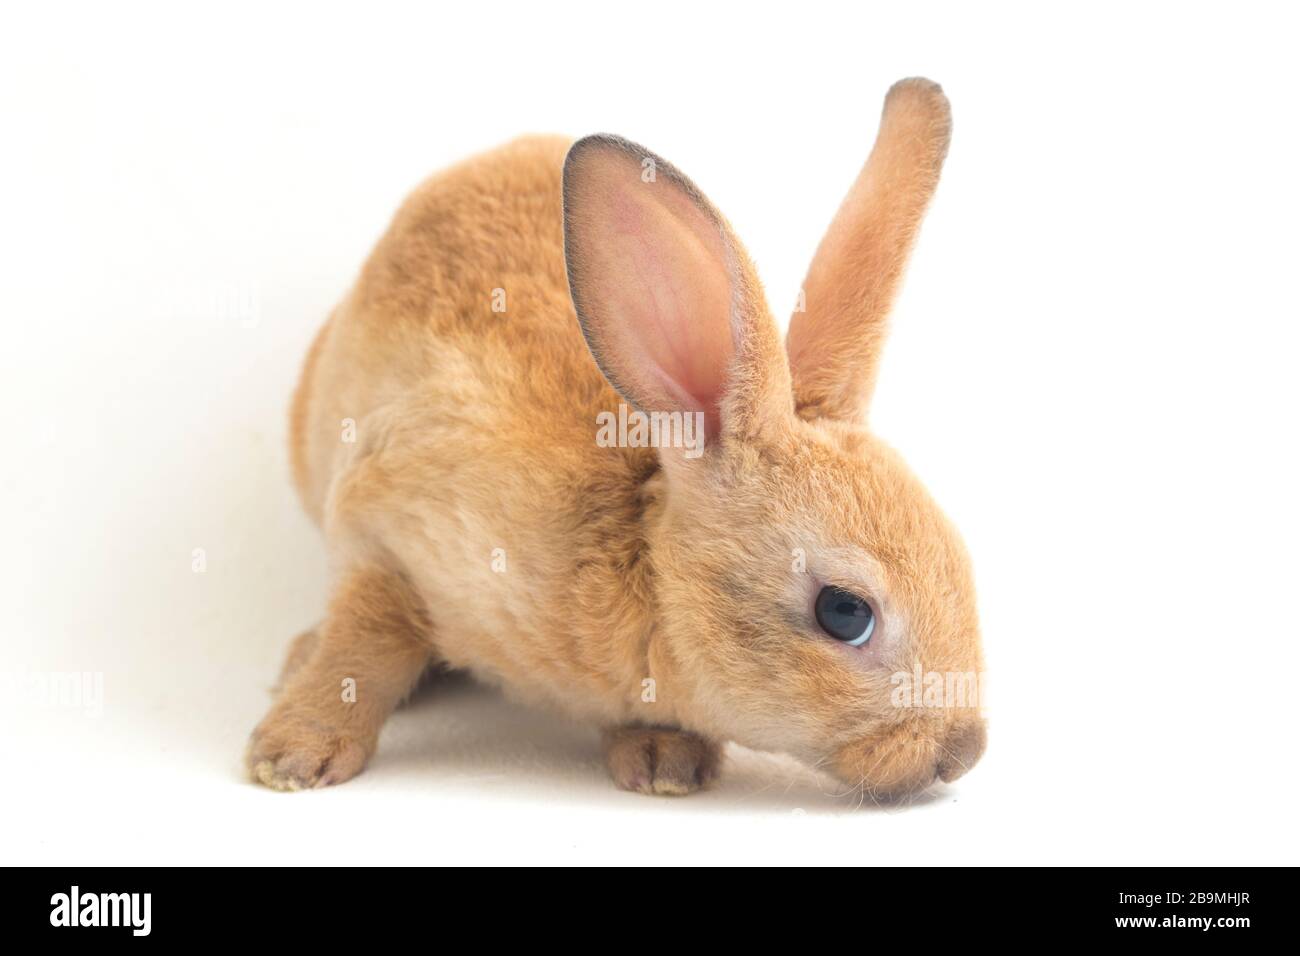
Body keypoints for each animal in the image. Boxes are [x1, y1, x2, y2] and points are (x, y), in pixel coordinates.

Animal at [246, 77, 986, 800]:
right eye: (844, 612)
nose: (964, 751)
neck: (643, 566)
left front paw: (666, 763)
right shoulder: (387, 530)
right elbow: (363, 647)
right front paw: (292, 757)